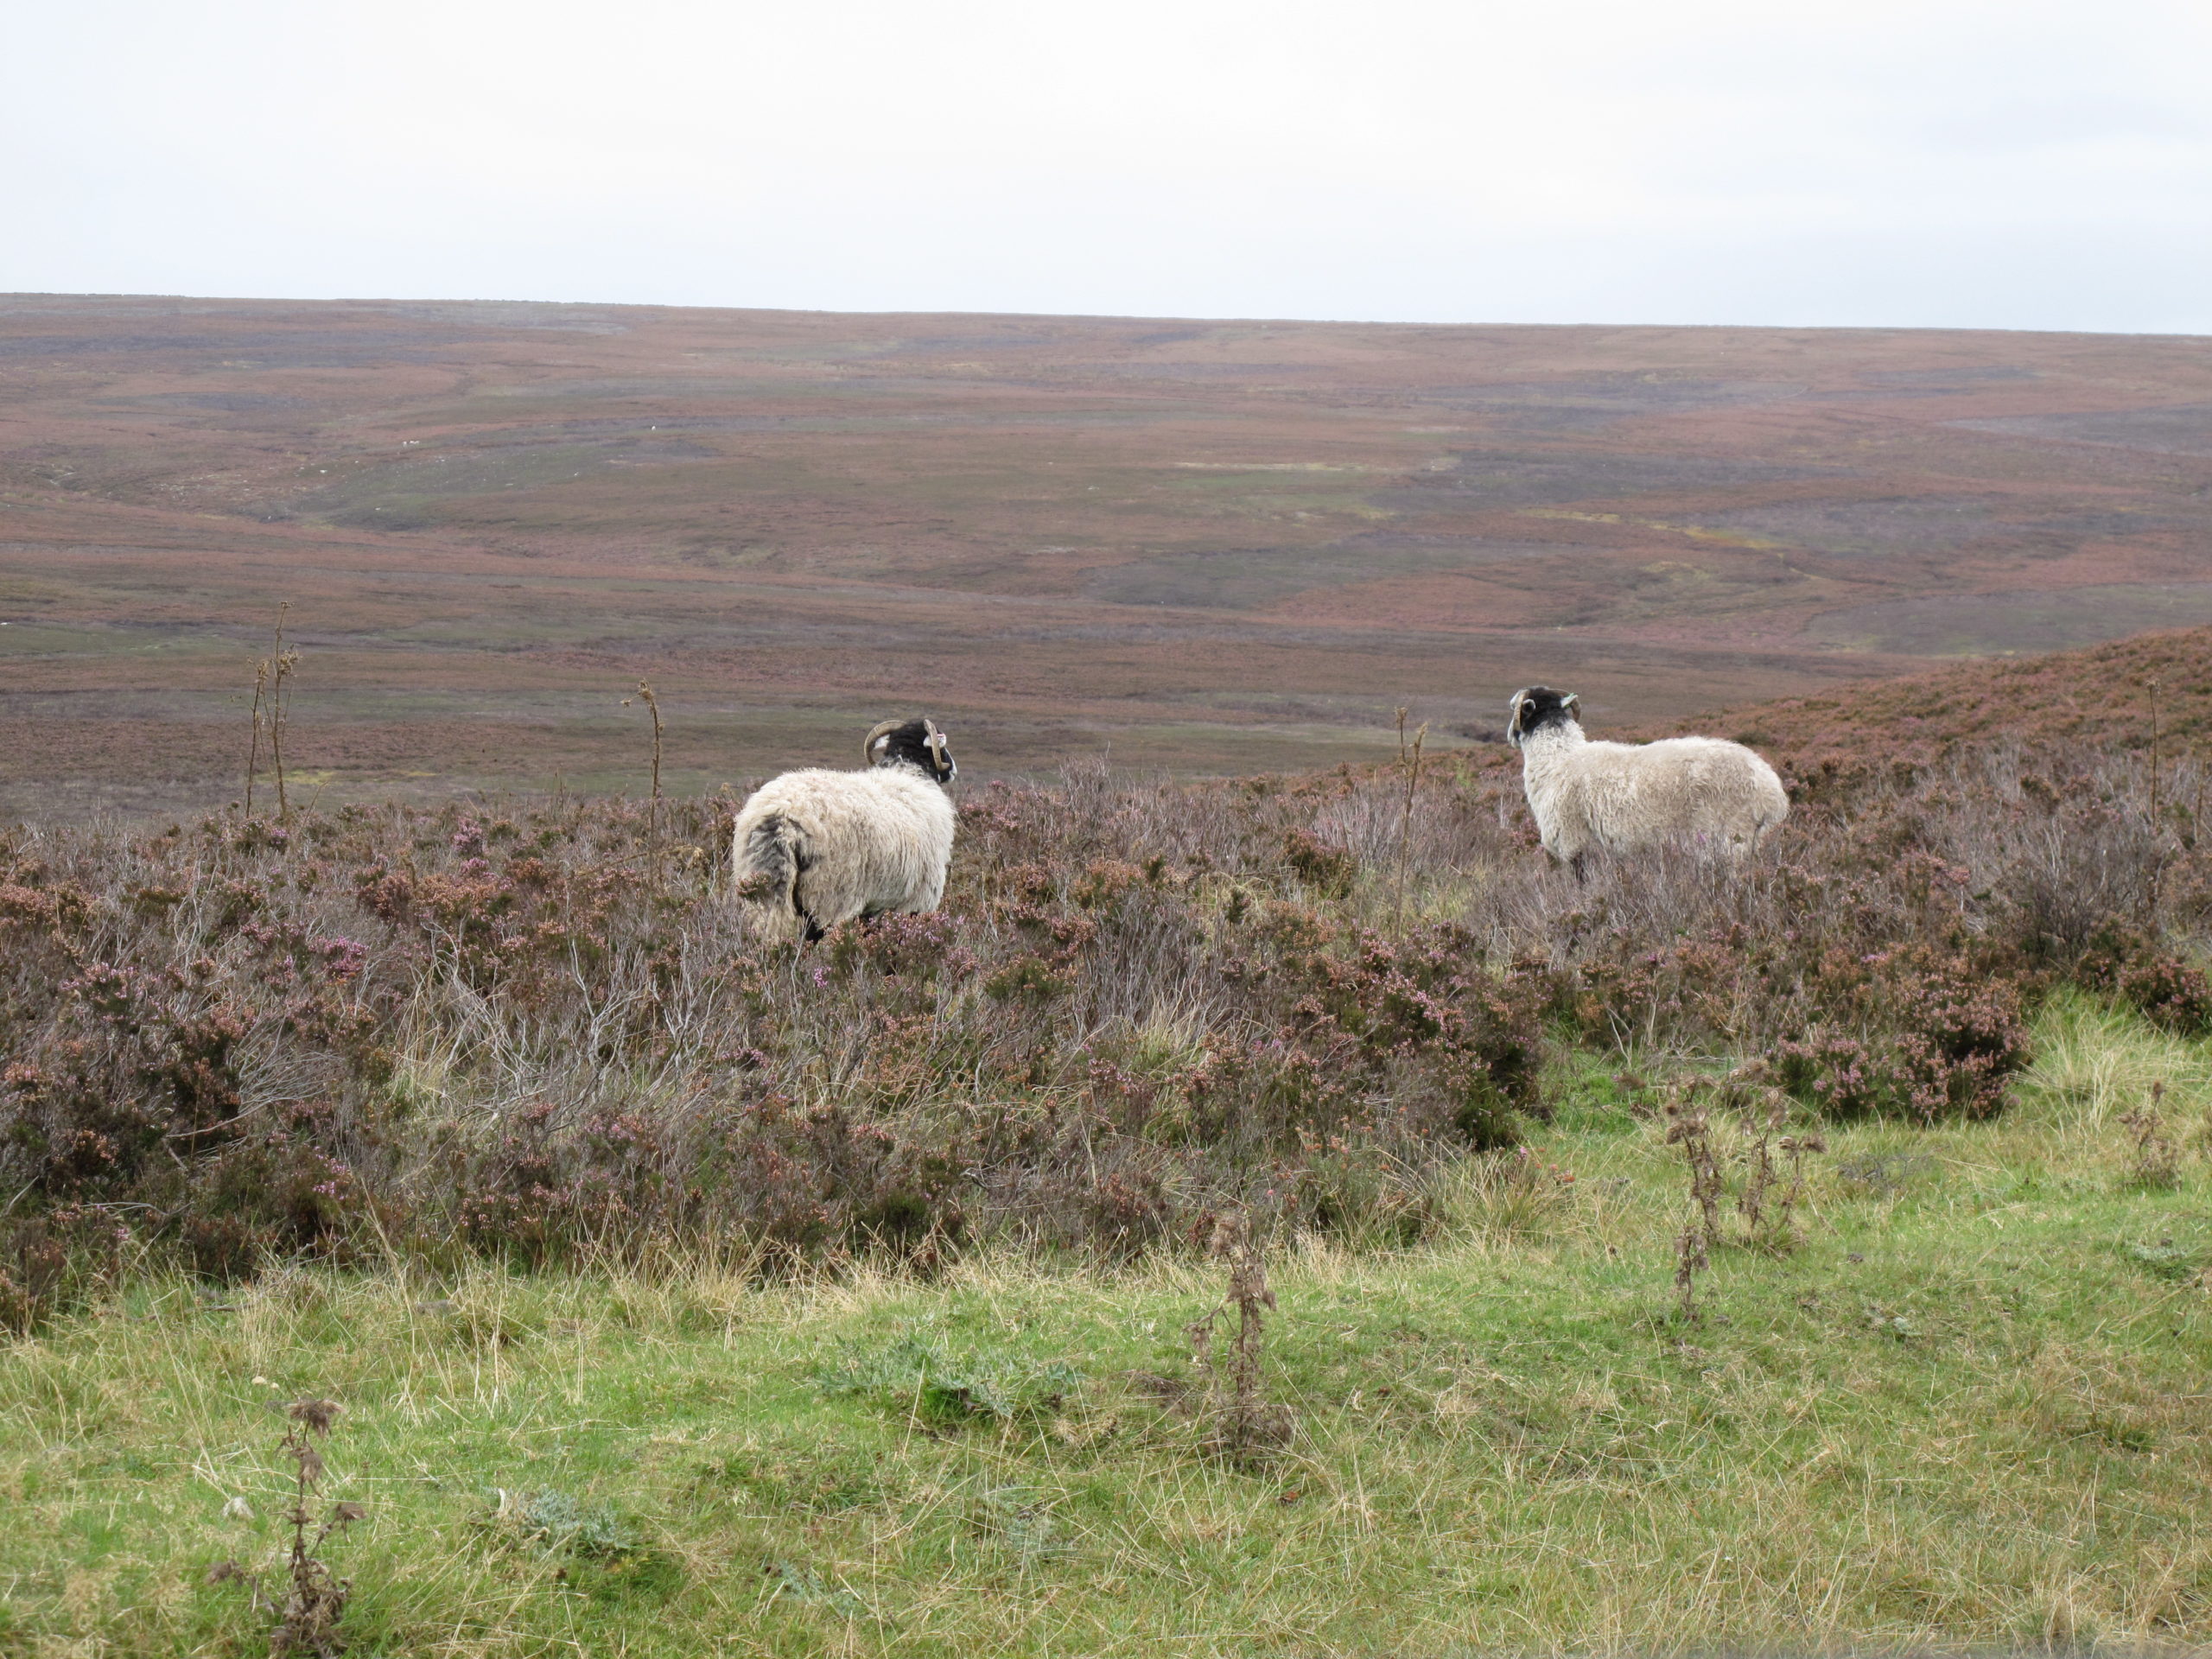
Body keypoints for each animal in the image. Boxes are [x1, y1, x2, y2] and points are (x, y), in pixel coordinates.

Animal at [729, 717, 958, 942]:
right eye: (942, 746)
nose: (953, 770)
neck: (909, 772)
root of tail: (782, 818)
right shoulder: (914, 902)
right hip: (829, 893)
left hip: (760, 885)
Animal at [1505, 686, 1787, 867]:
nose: (1509, 736)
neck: (1558, 757)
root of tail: (1772, 790)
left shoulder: (1573, 841)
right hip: (1751, 840)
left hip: (1728, 837)